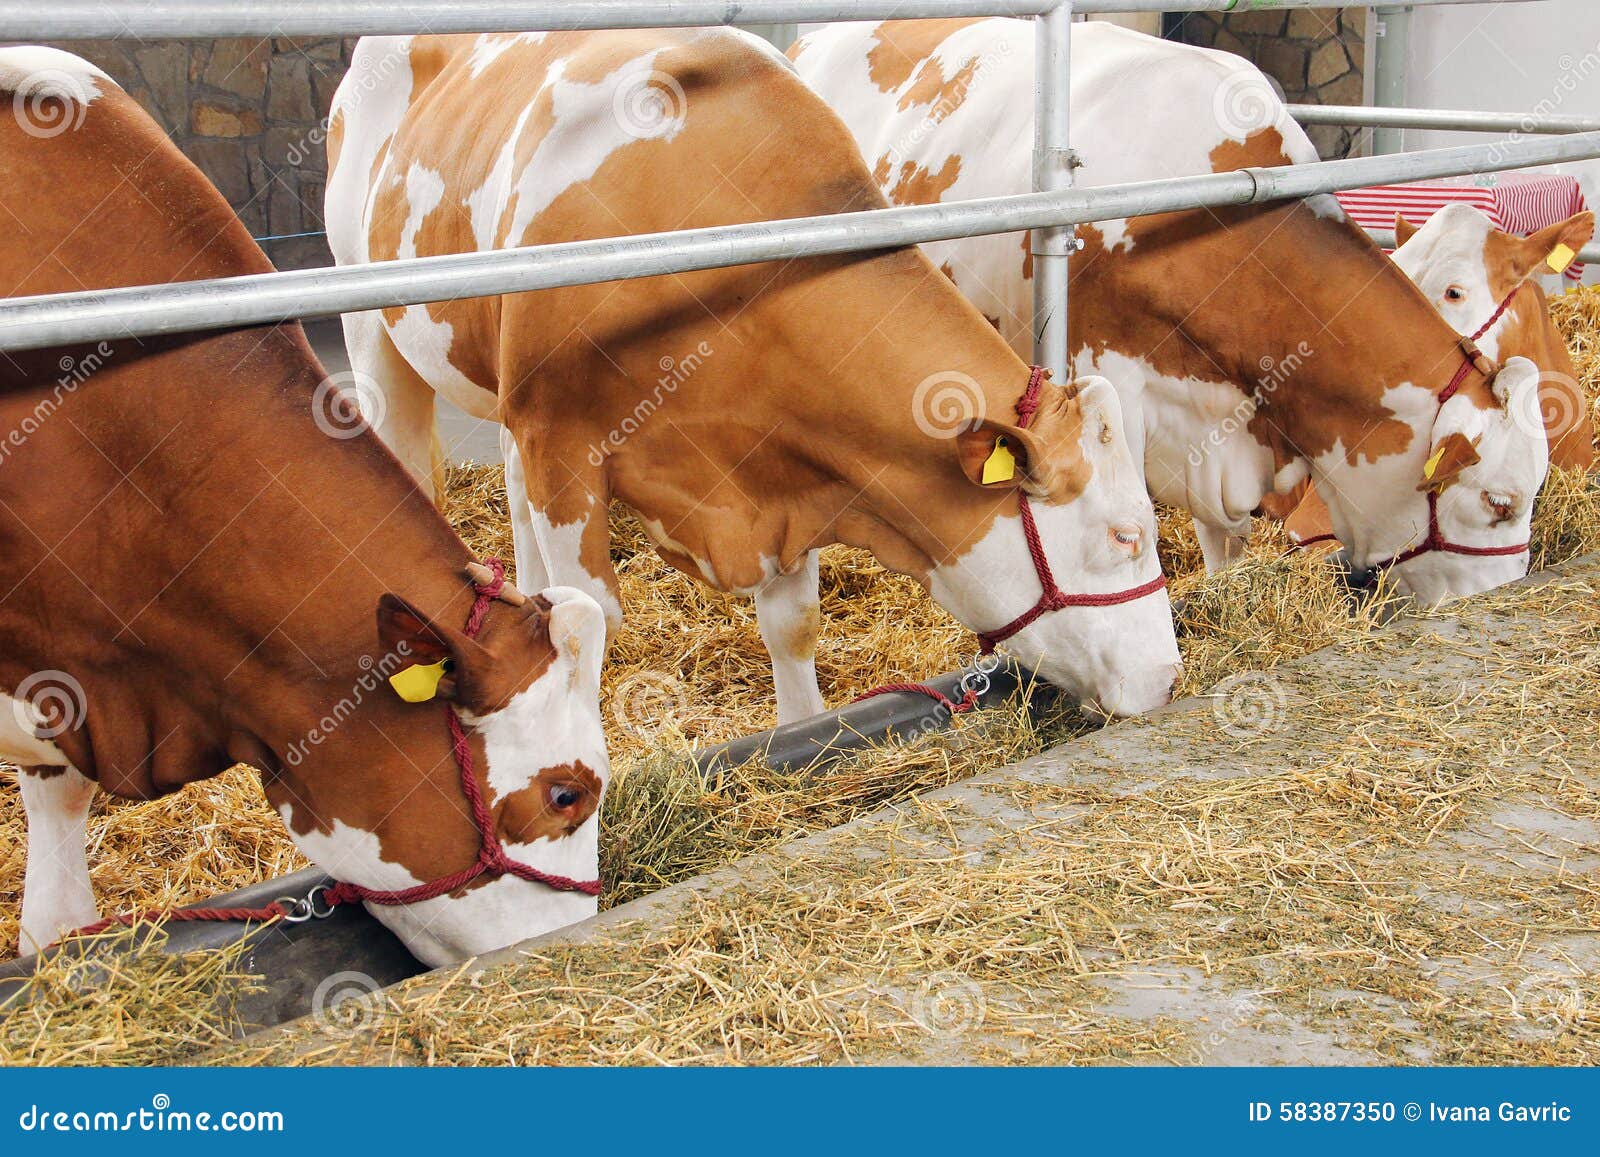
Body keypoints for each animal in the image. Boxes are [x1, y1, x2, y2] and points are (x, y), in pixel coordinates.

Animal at [324, 28, 1183, 726]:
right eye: (1125, 534)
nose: (1170, 679)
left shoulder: (789, 463)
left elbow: (792, 622)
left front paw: (799, 732)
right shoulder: (560, 438)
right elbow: (592, 619)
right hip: (375, 327)